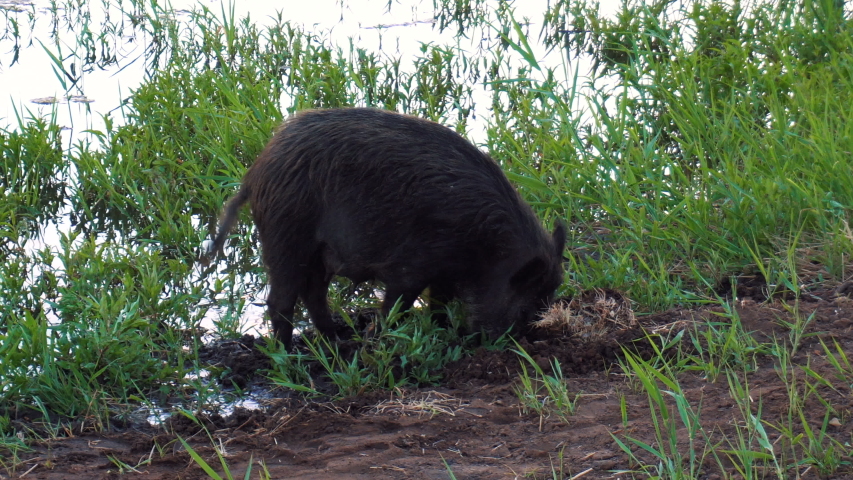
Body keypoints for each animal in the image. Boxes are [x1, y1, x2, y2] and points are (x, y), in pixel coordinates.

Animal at [207, 108, 564, 348]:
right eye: (525, 306)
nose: (515, 344)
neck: (487, 249)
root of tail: (256, 172)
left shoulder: (444, 273)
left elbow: (438, 303)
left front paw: (441, 331)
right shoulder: (411, 265)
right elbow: (398, 304)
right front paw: (380, 338)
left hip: (315, 251)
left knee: (313, 293)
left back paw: (338, 339)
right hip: (287, 235)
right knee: (281, 300)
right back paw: (289, 354)